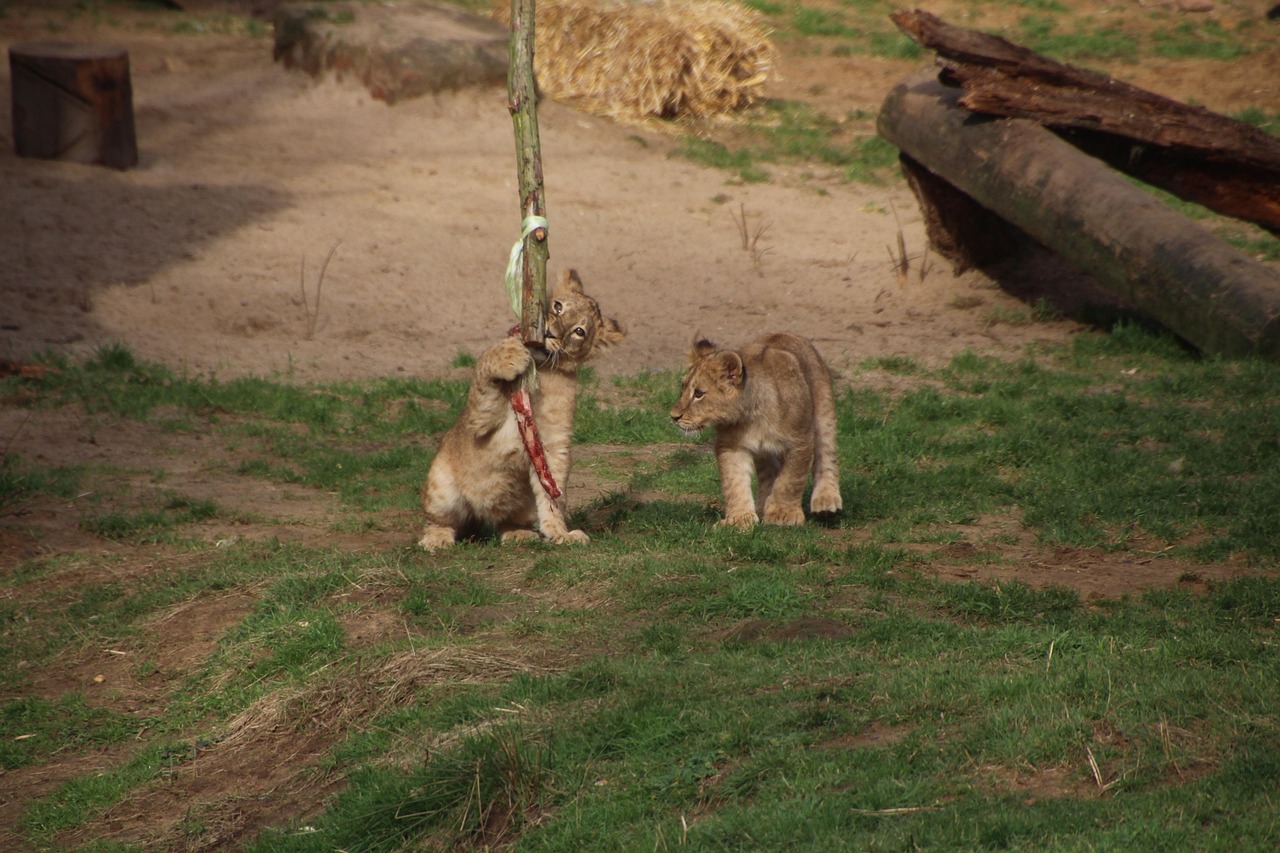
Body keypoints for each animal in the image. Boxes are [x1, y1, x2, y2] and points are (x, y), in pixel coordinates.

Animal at [418, 269, 624, 550]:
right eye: (558, 306)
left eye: (579, 331)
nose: (549, 333)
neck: (541, 370)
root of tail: (483, 514)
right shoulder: (479, 422)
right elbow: (485, 375)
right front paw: (510, 353)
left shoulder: (552, 445)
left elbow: (553, 495)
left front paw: (560, 534)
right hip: (441, 486)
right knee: (438, 520)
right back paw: (436, 539)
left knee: (507, 522)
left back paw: (518, 534)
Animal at [670, 332, 842, 528]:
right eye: (683, 388)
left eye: (698, 393)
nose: (673, 416)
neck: (752, 418)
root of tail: (788, 334)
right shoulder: (731, 446)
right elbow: (734, 483)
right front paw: (739, 519)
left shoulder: (800, 440)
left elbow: (790, 480)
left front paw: (783, 514)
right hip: (765, 452)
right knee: (769, 474)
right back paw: (763, 505)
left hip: (823, 412)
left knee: (826, 454)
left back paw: (826, 500)